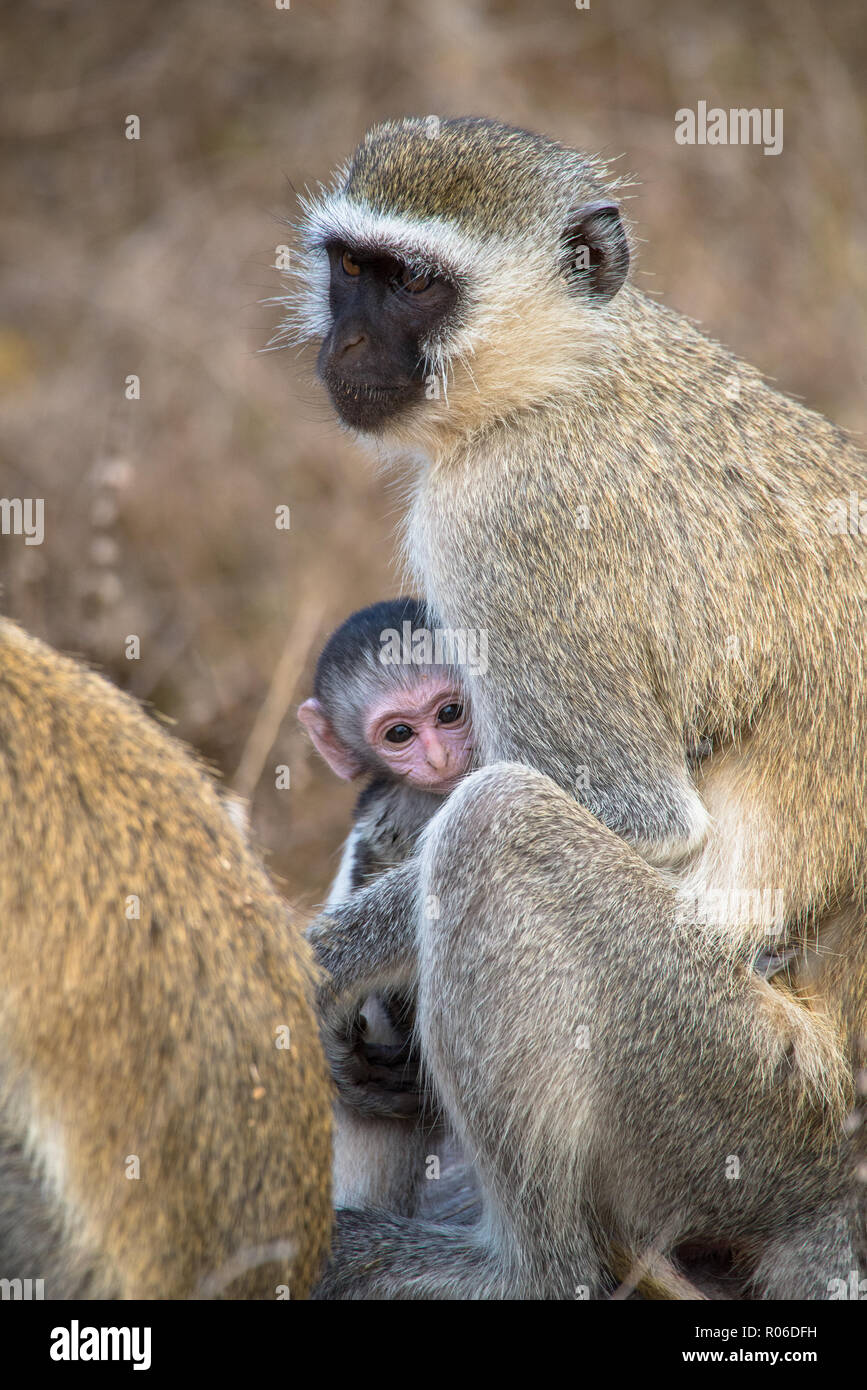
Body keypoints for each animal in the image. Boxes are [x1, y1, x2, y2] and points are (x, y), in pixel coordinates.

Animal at [281, 116, 867, 1299]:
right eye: (352, 268)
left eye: (414, 284)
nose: (347, 346)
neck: (571, 366)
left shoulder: (504, 520)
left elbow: (637, 821)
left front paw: (300, 968)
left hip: (739, 1098)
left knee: (497, 828)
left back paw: (522, 1272)